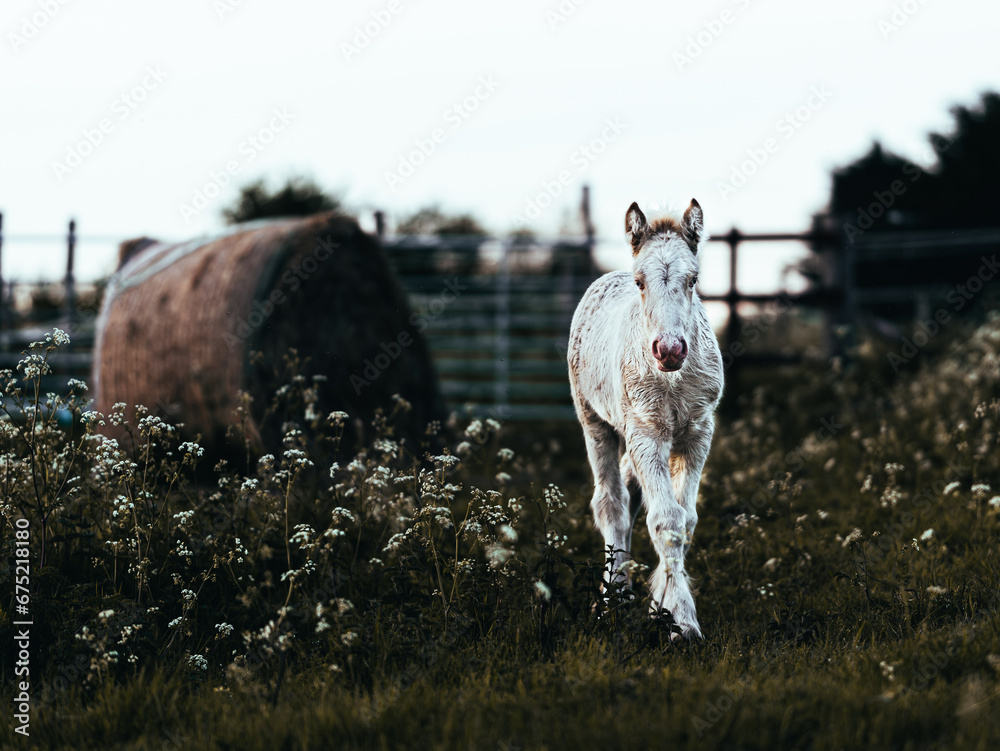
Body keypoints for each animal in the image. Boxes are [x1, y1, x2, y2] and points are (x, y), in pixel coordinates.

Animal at [567, 199, 723, 638]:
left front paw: (665, 609)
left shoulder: (697, 434)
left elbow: (686, 520)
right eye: (640, 282)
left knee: (629, 490)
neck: (672, 379)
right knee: (612, 503)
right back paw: (611, 600)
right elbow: (666, 518)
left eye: (694, 279)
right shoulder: (647, 433)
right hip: (596, 421)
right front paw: (682, 623)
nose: (669, 350)